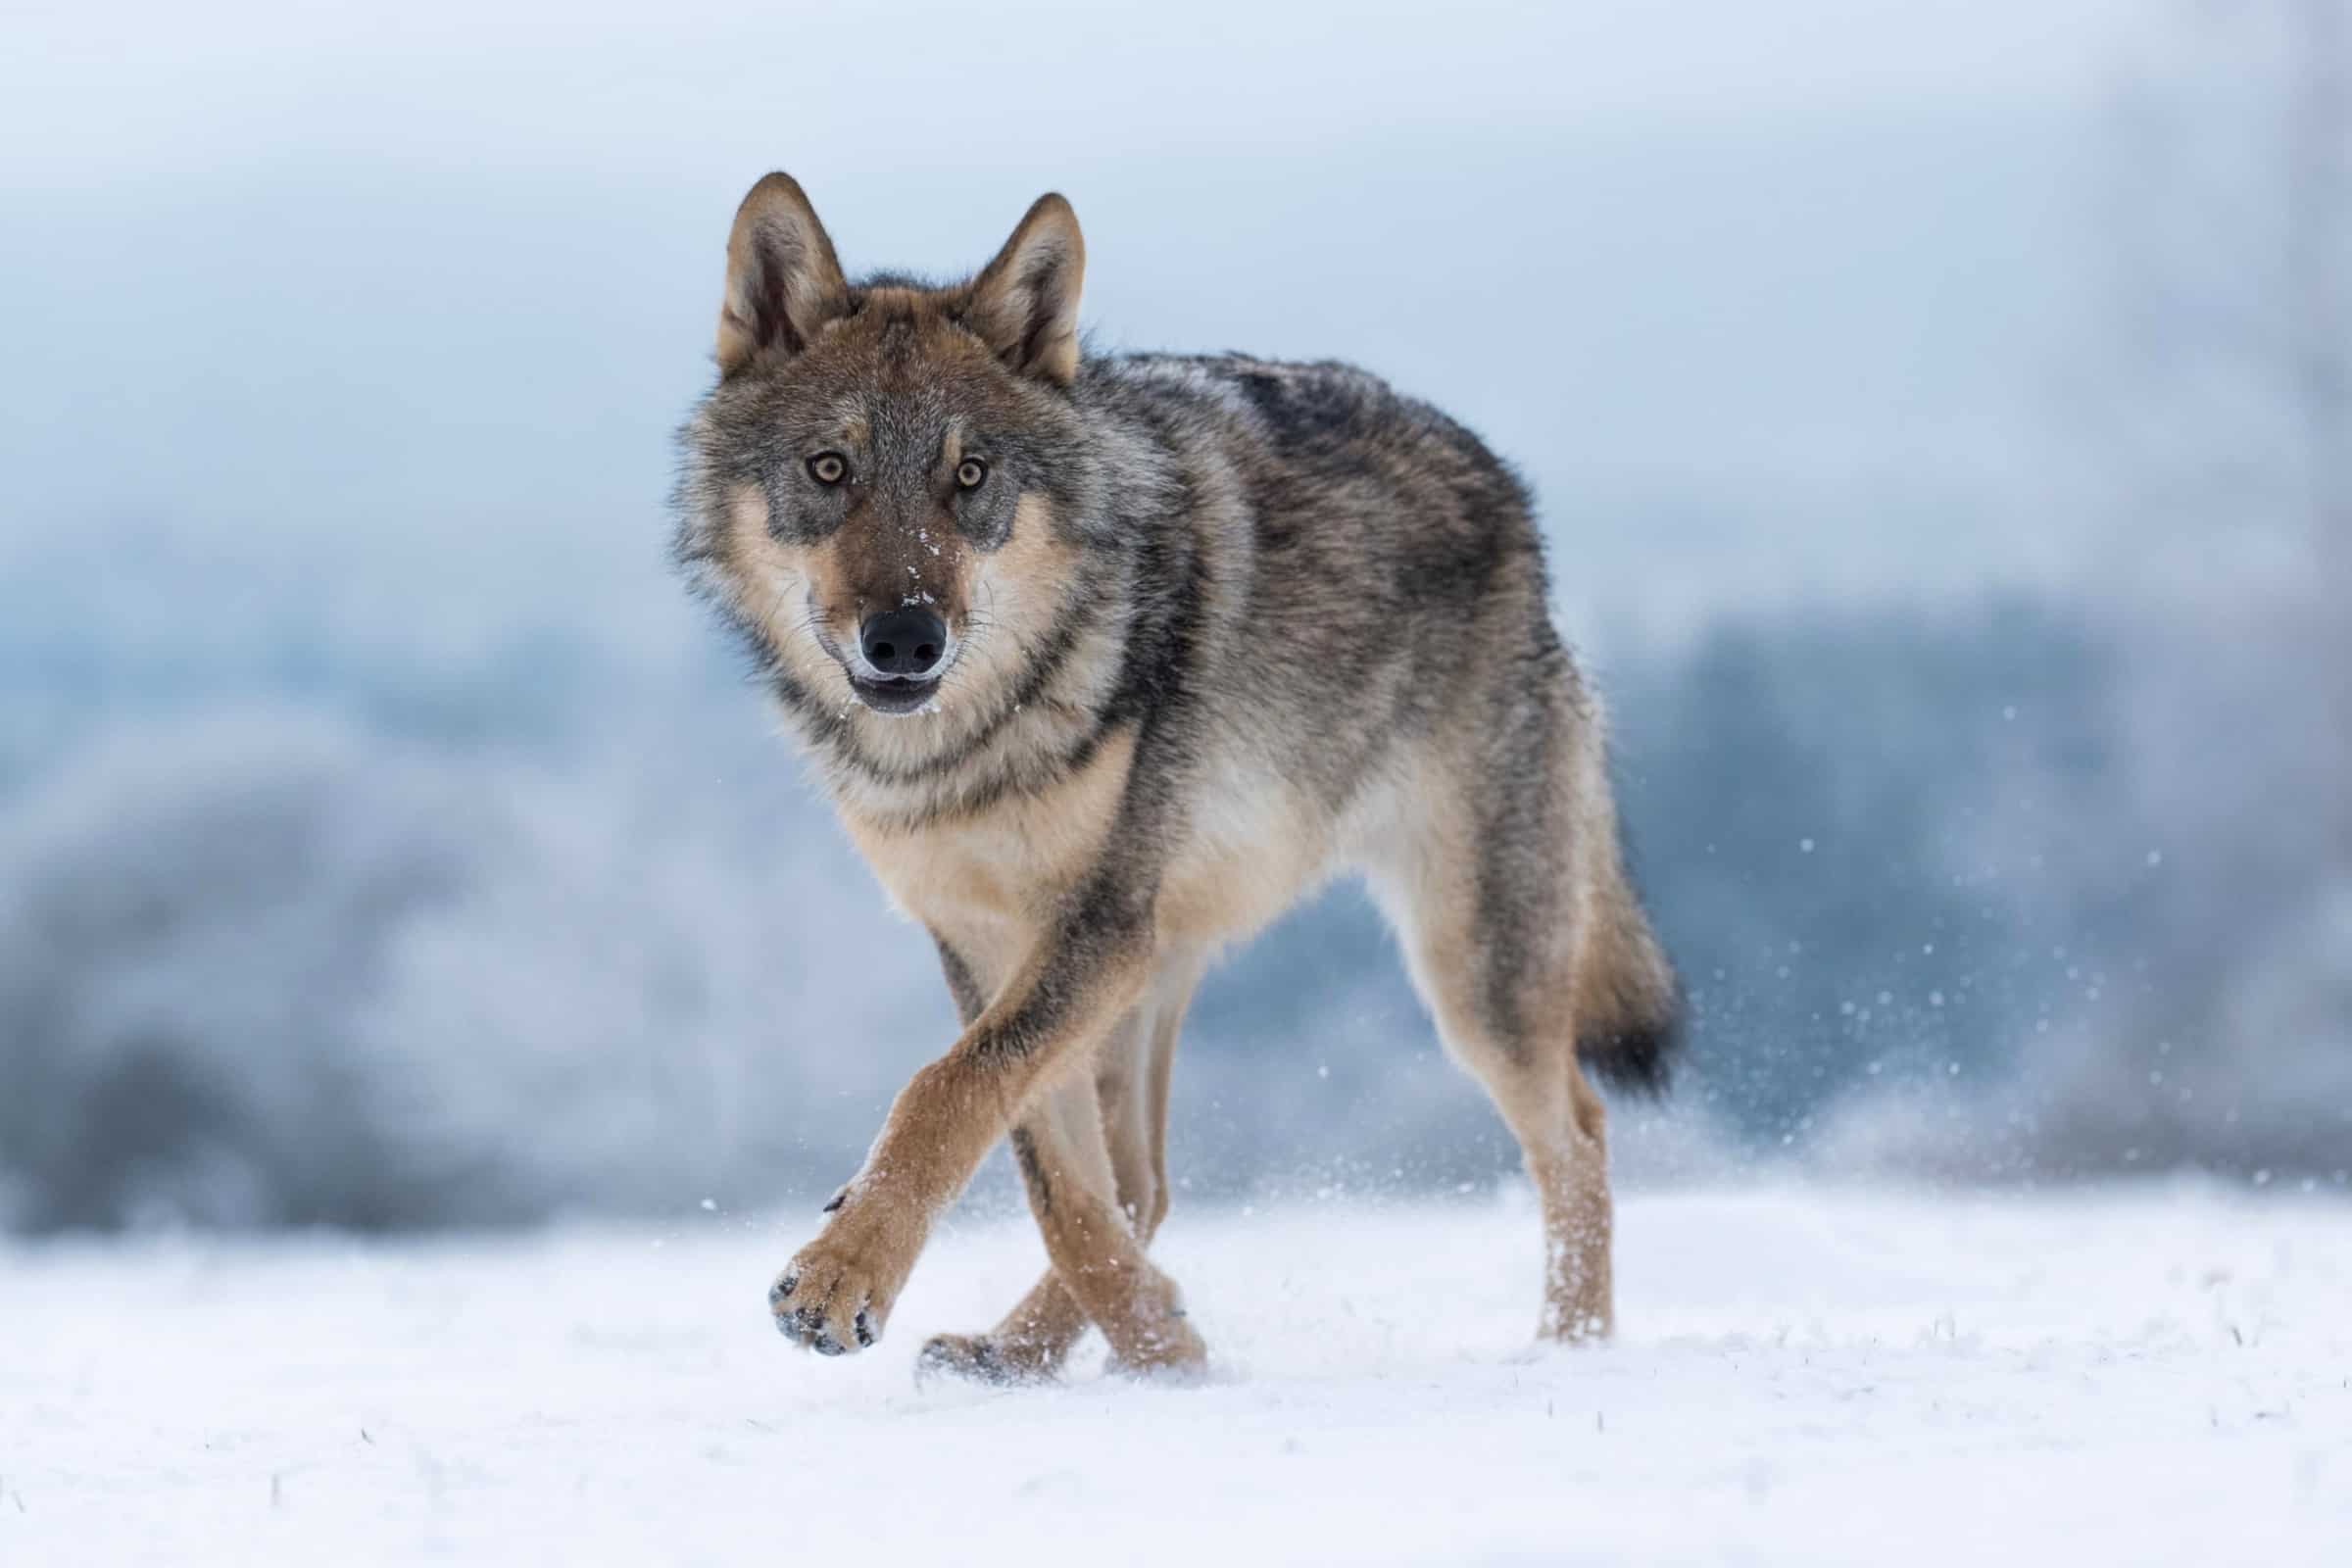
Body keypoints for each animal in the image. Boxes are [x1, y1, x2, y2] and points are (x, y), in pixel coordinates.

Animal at [673, 173, 1681, 1380]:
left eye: (970, 477)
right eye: (832, 469)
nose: (906, 640)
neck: (972, 748)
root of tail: (1511, 500)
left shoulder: (1096, 926)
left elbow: (947, 1091)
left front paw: (839, 1280)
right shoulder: (987, 939)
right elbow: (1051, 1177)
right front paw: (1159, 1344)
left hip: (1466, 966)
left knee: (1577, 1132)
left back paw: (1569, 1350)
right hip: (1167, 963)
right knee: (1144, 1185)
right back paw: (1028, 1350)